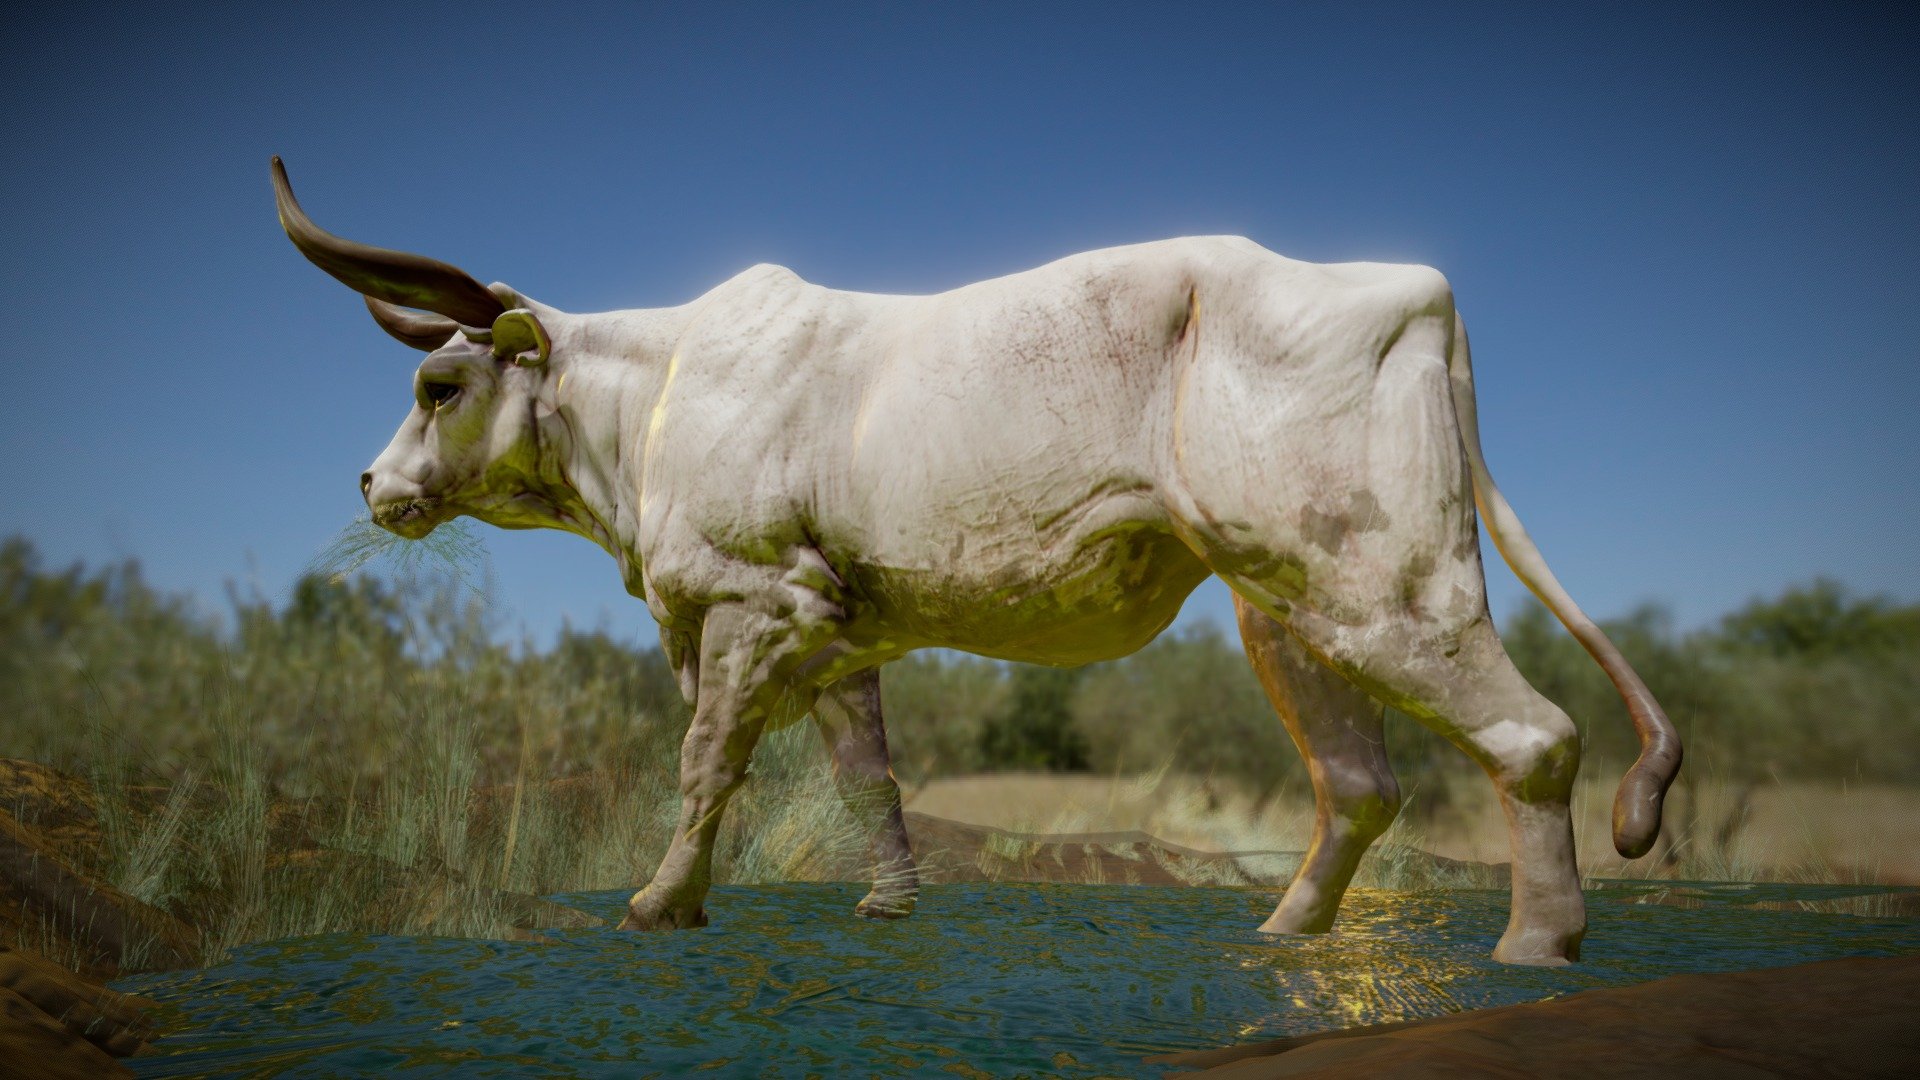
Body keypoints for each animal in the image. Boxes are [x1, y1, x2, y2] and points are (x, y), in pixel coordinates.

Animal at [272, 157, 1680, 966]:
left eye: (439, 385)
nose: (371, 485)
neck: (653, 402)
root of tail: (1413, 287)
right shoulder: (831, 627)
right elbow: (867, 777)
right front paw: (887, 908)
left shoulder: (746, 600)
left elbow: (704, 763)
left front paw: (659, 905)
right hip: (1284, 605)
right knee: (1360, 782)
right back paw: (1284, 933)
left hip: (1385, 583)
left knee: (1534, 738)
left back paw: (1536, 947)